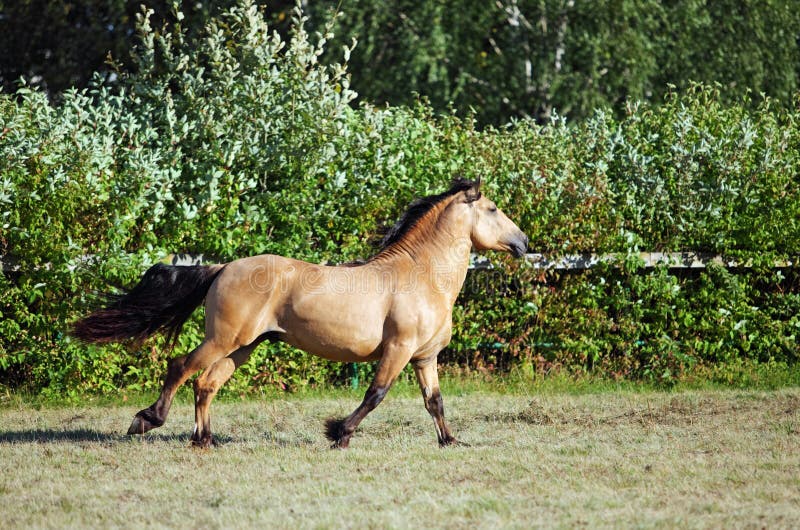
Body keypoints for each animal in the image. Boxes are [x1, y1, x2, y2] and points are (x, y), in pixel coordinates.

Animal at [73, 178, 528, 448]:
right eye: (492, 209)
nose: (523, 242)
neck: (421, 276)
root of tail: (223, 268)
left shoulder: (424, 358)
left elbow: (435, 402)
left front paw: (450, 442)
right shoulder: (398, 350)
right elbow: (375, 394)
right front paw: (338, 434)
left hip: (244, 346)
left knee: (206, 383)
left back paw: (205, 439)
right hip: (225, 338)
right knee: (181, 366)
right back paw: (147, 420)